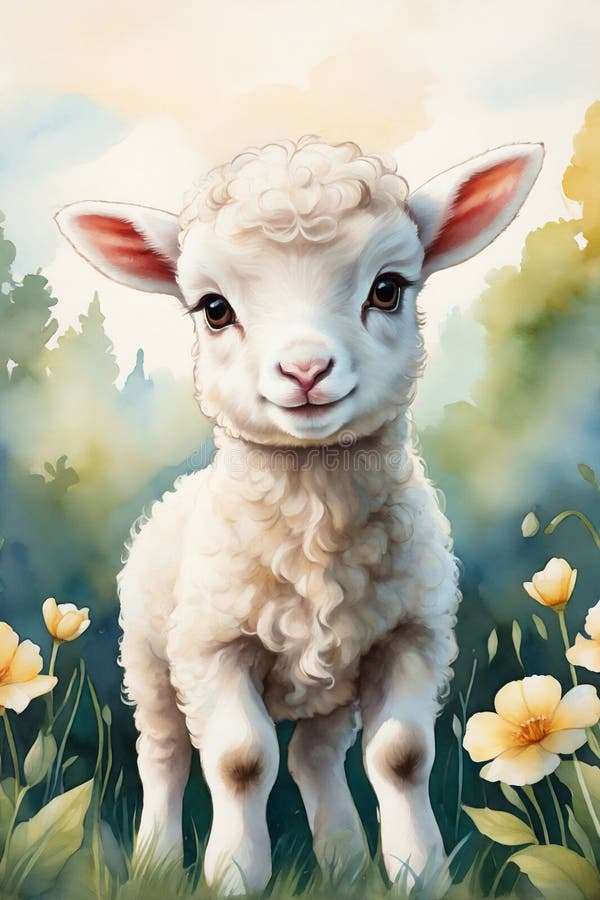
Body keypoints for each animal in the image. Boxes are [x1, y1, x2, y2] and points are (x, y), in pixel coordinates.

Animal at [55, 135, 543, 895]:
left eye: (388, 289)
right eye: (214, 309)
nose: (306, 371)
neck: (316, 526)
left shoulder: (409, 637)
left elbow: (401, 757)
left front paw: (420, 873)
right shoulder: (211, 647)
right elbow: (239, 761)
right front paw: (233, 875)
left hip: (331, 683)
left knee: (314, 758)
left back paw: (344, 865)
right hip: (149, 656)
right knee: (163, 754)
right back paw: (157, 862)